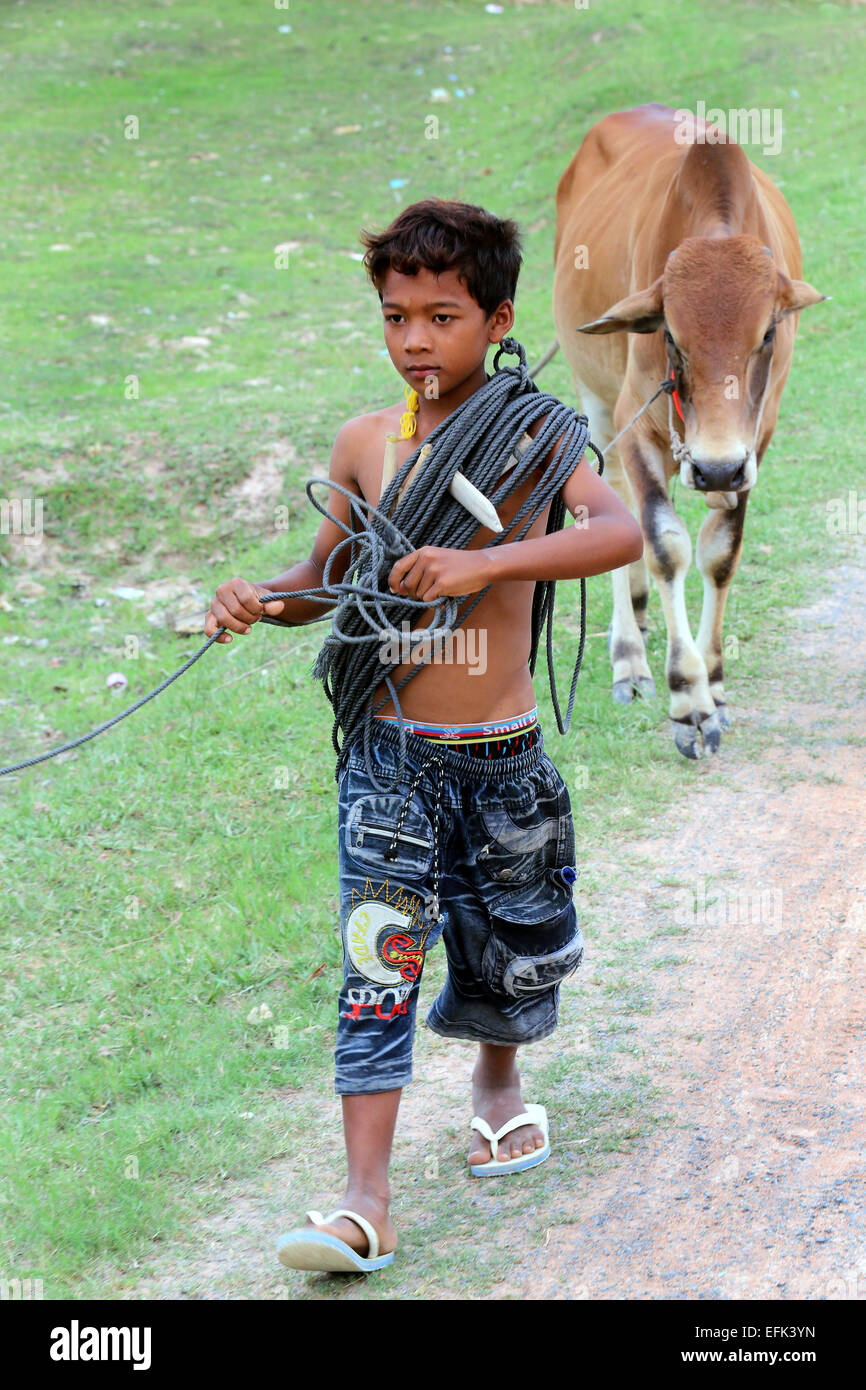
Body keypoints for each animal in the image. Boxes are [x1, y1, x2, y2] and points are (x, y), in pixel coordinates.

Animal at [552, 103, 826, 759]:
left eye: (768, 332)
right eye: (671, 334)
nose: (715, 466)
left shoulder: (755, 441)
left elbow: (720, 553)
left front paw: (716, 683)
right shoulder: (641, 424)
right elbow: (666, 545)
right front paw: (688, 699)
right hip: (597, 398)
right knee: (613, 501)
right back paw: (629, 655)